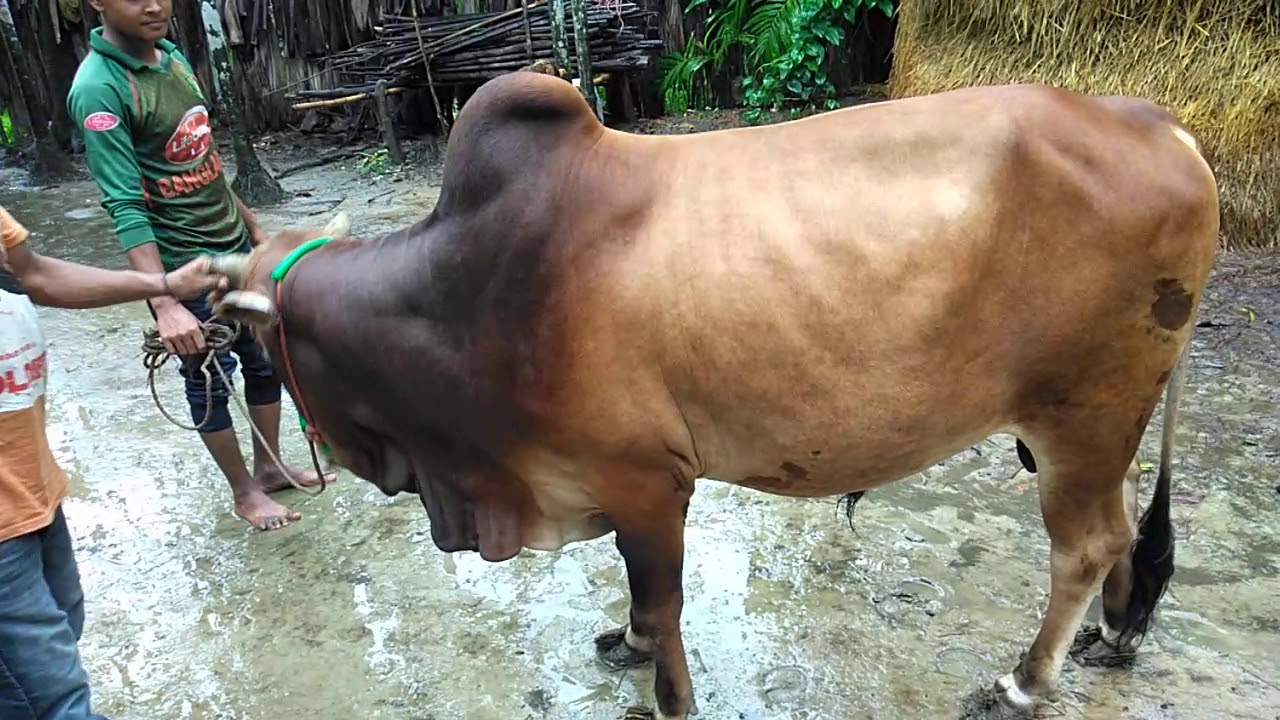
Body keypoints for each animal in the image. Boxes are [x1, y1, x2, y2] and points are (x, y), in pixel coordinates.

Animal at [204, 69, 1220, 719]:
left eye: (250, 335)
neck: (460, 295)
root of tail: (1156, 119)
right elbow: (636, 597)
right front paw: (626, 642)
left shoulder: (648, 483)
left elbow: (662, 605)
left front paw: (667, 692)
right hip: (1100, 425)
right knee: (1121, 527)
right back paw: (1113, 637)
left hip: (1080, 415)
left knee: (1083, 546)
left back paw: (1023, 683)